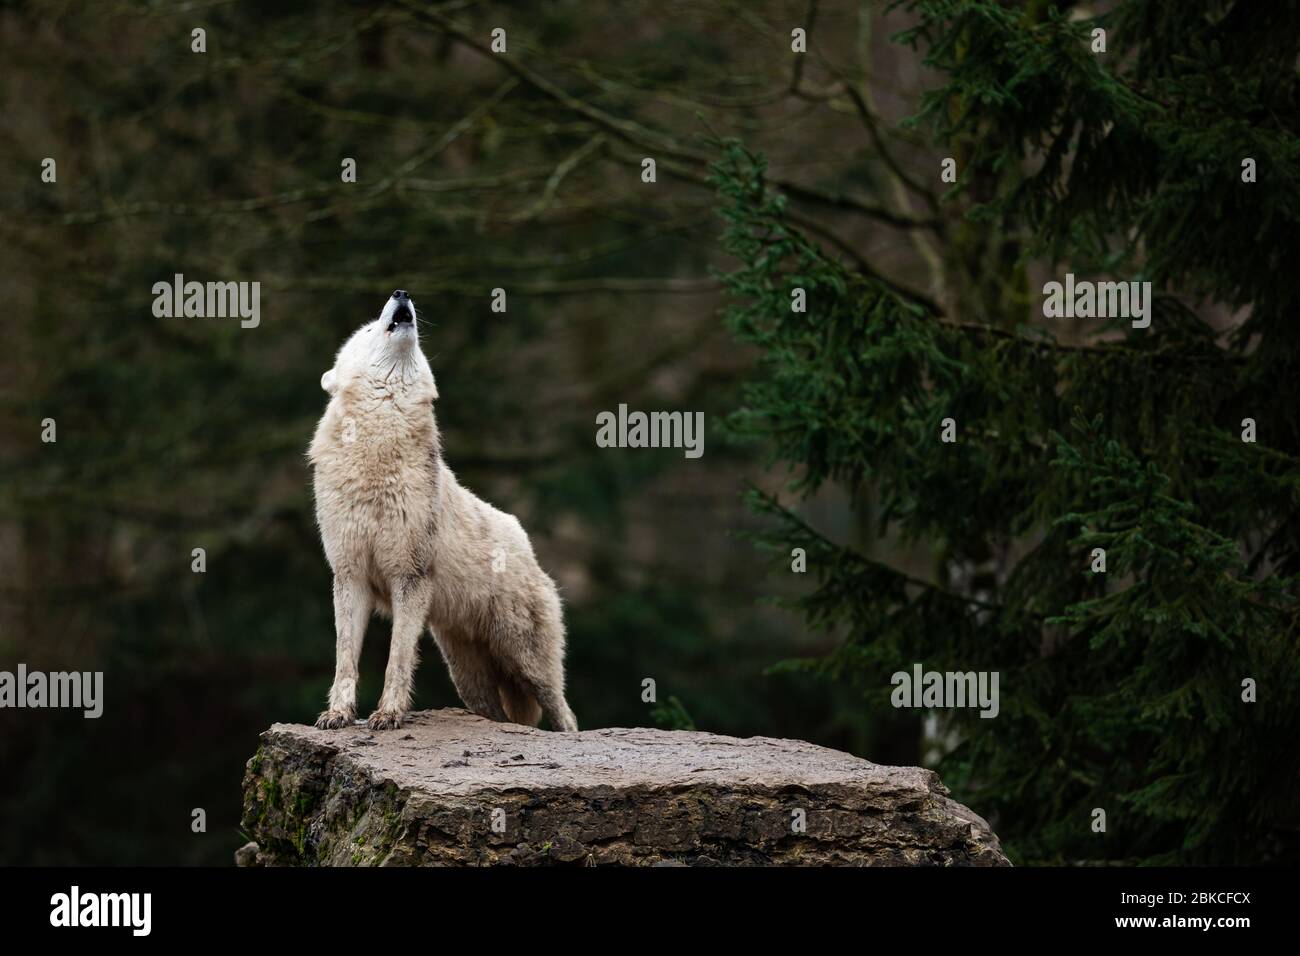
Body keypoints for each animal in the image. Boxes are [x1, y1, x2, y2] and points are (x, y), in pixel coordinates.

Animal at [308, 290, 578, 732]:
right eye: (368, 330)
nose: (401, 293)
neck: (377, 451)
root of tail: (525, 544)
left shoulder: (409, 577)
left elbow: (397, 659)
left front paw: (388, 714)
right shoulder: (350, 576)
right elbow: (345, 658)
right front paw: (339, 714)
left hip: (527, 663)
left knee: (565, 715)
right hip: (470, 677)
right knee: (498, 715)